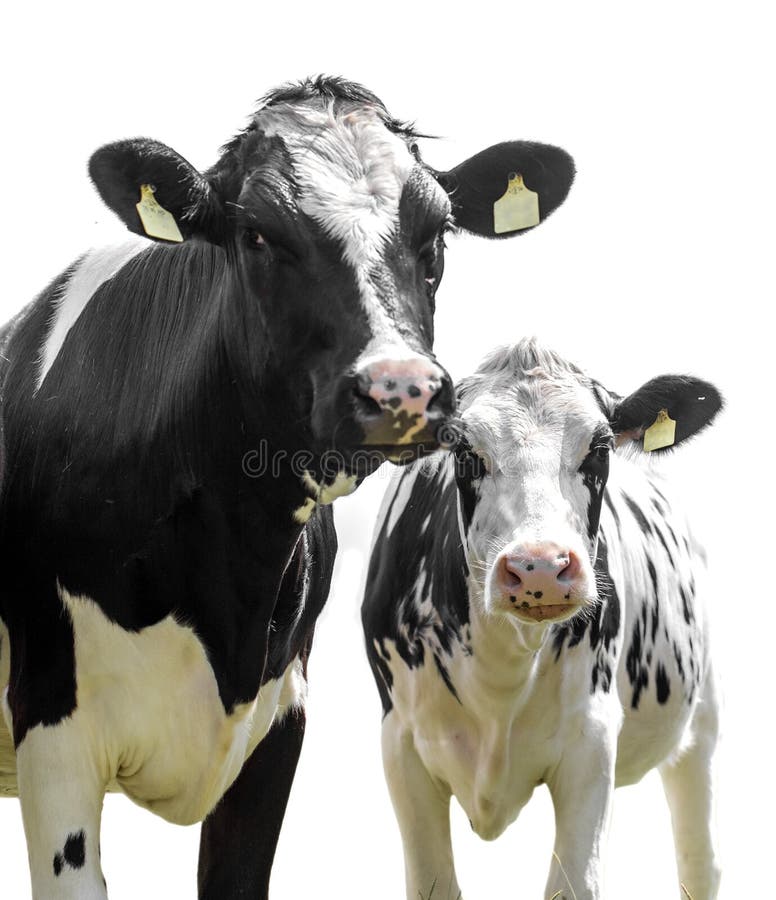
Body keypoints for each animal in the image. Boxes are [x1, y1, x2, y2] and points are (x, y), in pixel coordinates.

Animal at [362, 338, 723, 900]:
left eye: (600, 448)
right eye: (465, 451)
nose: (540, 568)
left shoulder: (591, 742)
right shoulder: (401, 744)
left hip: (700, 723)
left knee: (698, 862)